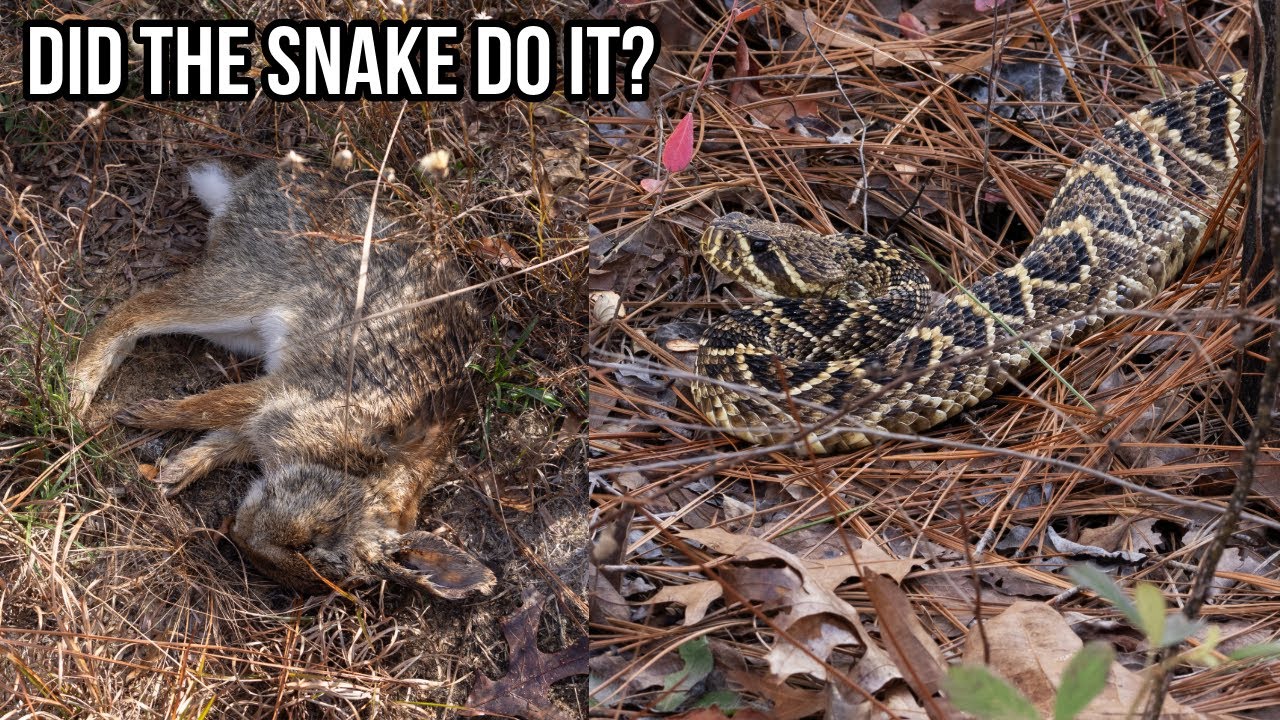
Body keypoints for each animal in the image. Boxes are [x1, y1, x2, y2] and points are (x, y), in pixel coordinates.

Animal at [68, 156, 496, 598]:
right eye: (310, 541)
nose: (240, 534)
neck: (359, 470)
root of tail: (257, 182)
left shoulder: (270, 421)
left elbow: (227, 437)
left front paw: (176, 473)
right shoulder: (290, 395)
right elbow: (211, 408)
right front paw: (144, 416)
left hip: (242, 331)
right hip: (245, 291)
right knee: (135, 312)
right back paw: (77, 392)